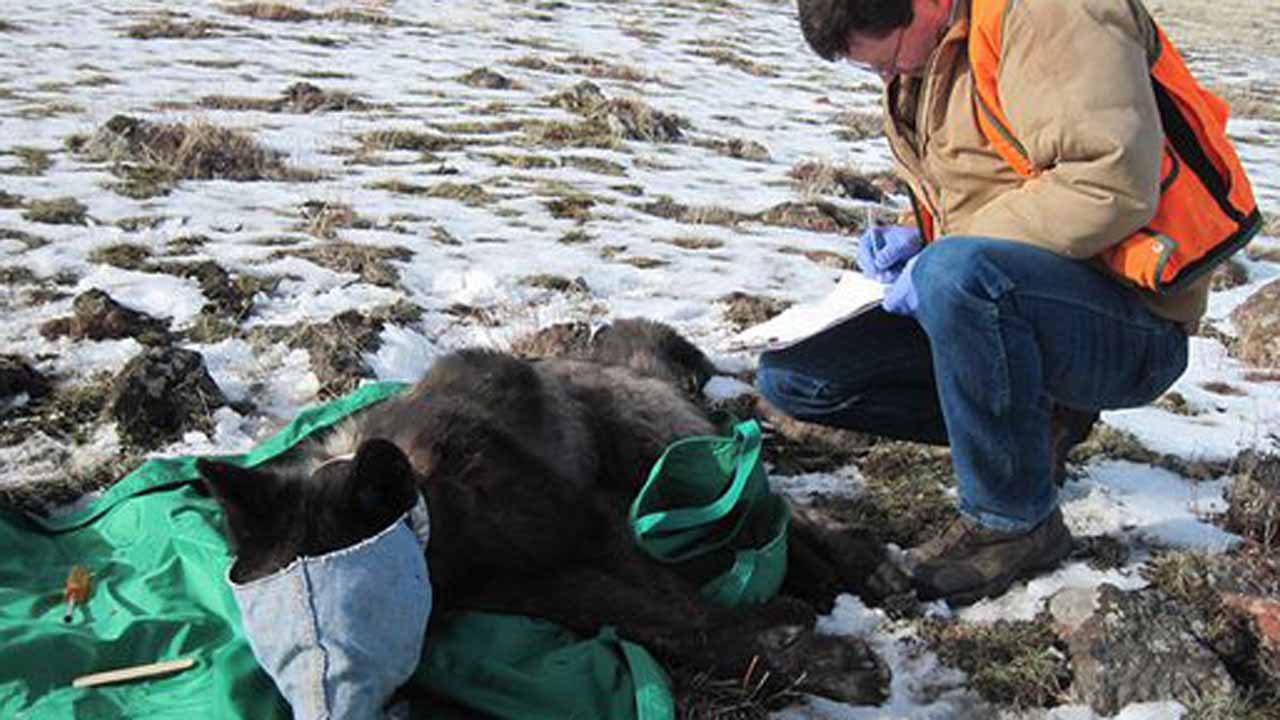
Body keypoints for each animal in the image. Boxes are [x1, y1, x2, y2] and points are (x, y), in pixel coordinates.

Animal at [197, 319, 909, 707]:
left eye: (359, 609)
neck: (440, 508)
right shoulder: (549, 588)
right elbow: (667, 625)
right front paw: (793, 639)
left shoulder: (594, 526)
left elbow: (692, 612)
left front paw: (811, 653)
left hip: (651, 443)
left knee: (781, 504)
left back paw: (860, 563)